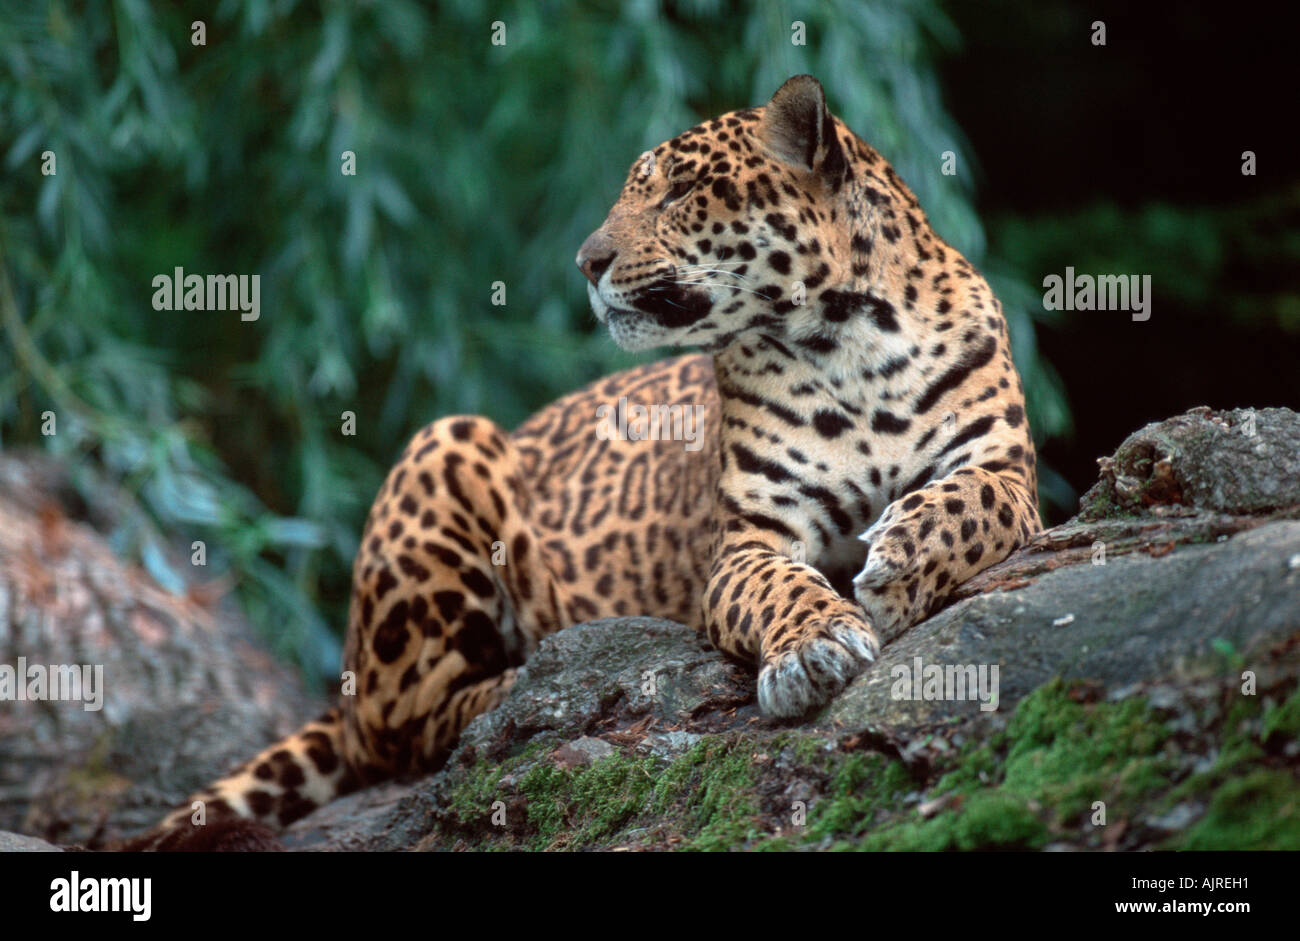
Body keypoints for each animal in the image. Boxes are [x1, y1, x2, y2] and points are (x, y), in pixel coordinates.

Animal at [136, 75, 1041, 847]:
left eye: (679, 191)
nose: (586, 261)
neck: (845, 340)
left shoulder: (1009, 473)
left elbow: (970, 501)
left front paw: (901, 559)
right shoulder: (747, 541)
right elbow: (778, 585)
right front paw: (814, 645)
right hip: (448, 442)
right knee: (399, 726)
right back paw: (535, 684)